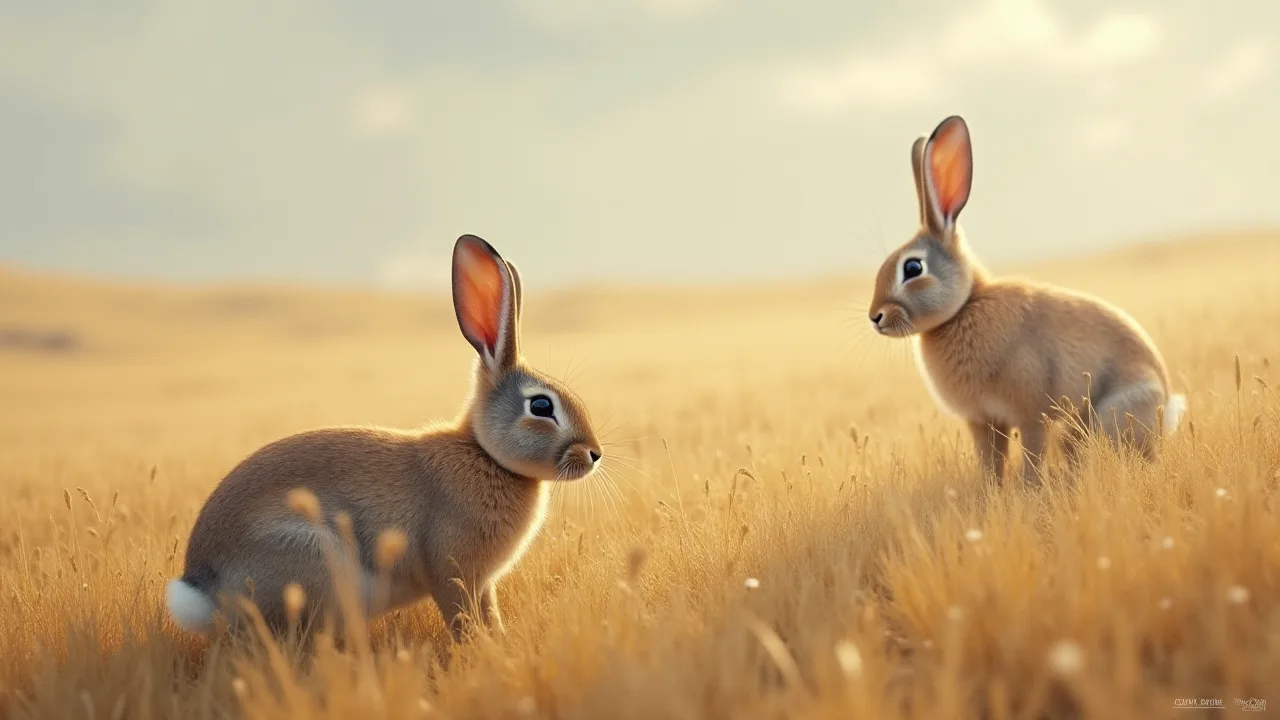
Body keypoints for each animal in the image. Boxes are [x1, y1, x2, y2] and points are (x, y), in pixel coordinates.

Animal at [165, 234, 604, 640]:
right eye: (541, 406)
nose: (594, 454)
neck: (485, 453)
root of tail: (203, 592)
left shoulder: (483, 584)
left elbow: (488, 612)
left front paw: (498, 641)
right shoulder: (452, 570)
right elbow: (460, 615)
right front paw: (479, 649)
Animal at [867, 115, 1187, 484]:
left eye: (913, 267)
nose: (875, 317)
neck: (964, 307)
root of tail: (1166, 408)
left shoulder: (1031, 412)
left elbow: (1032, 455)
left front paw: (1028, 488)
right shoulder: (983, 420)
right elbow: (991, 460)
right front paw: (990, 489)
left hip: (1109, 414)